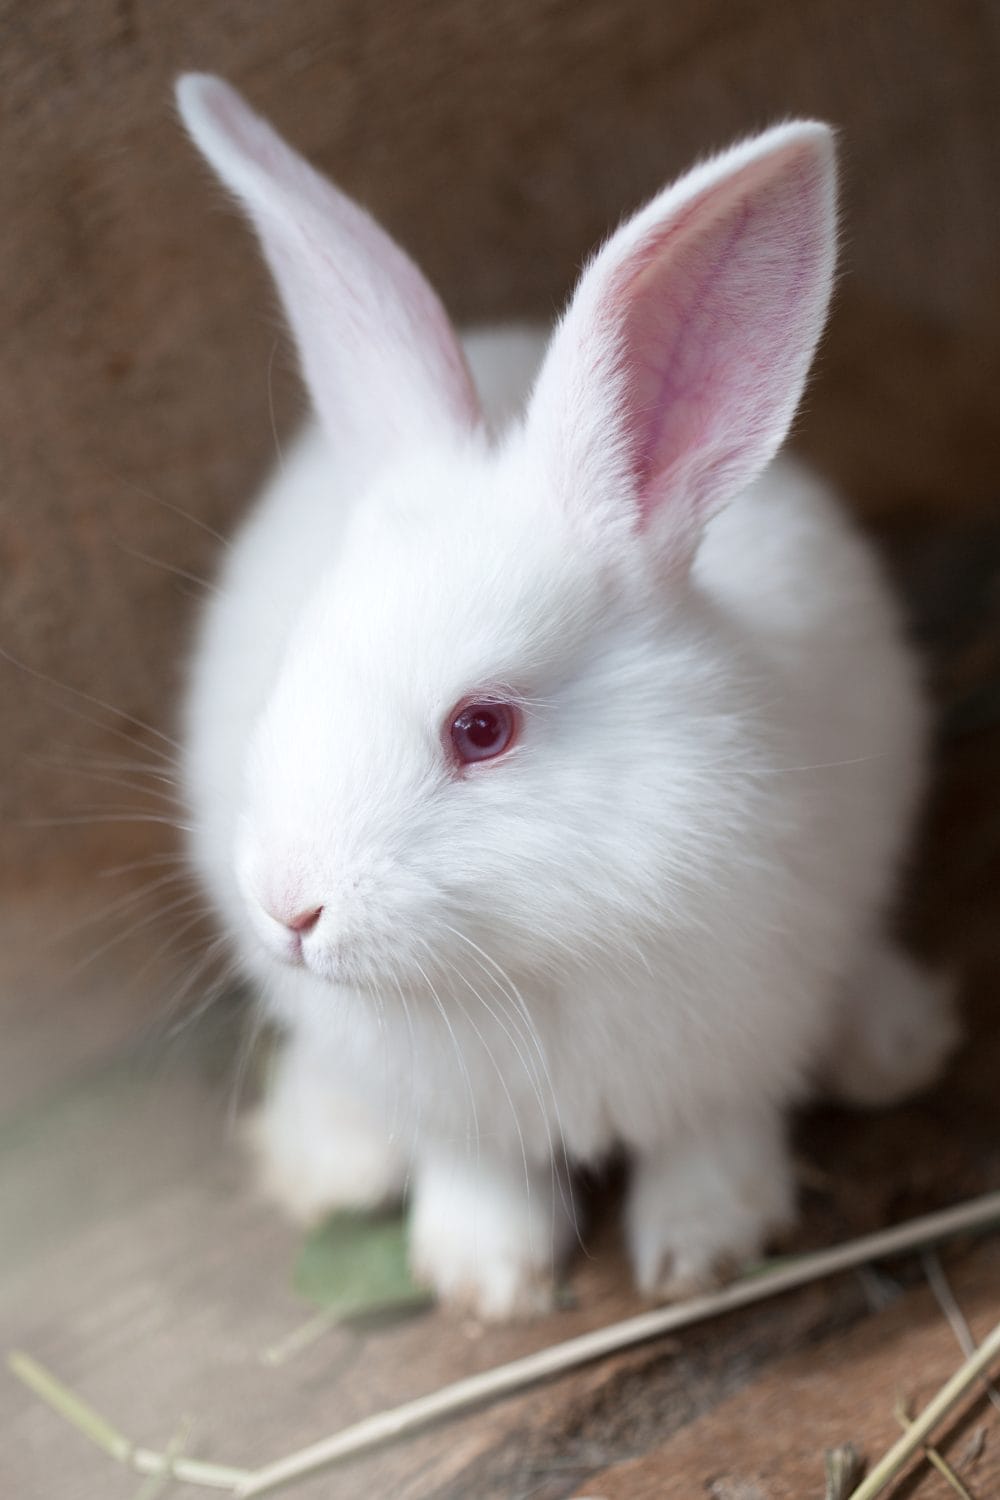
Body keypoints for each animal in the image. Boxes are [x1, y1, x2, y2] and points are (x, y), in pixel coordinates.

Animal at [175, 75, 957, 1319]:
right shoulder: (453, 1111)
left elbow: (712, 1142)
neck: (536, 944)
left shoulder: (733, 1045)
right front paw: (484, 1282)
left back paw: (890, 1044)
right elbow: (475, 1172)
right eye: (295, 666)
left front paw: (703, 1250)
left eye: (481, 729)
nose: (290, 912)